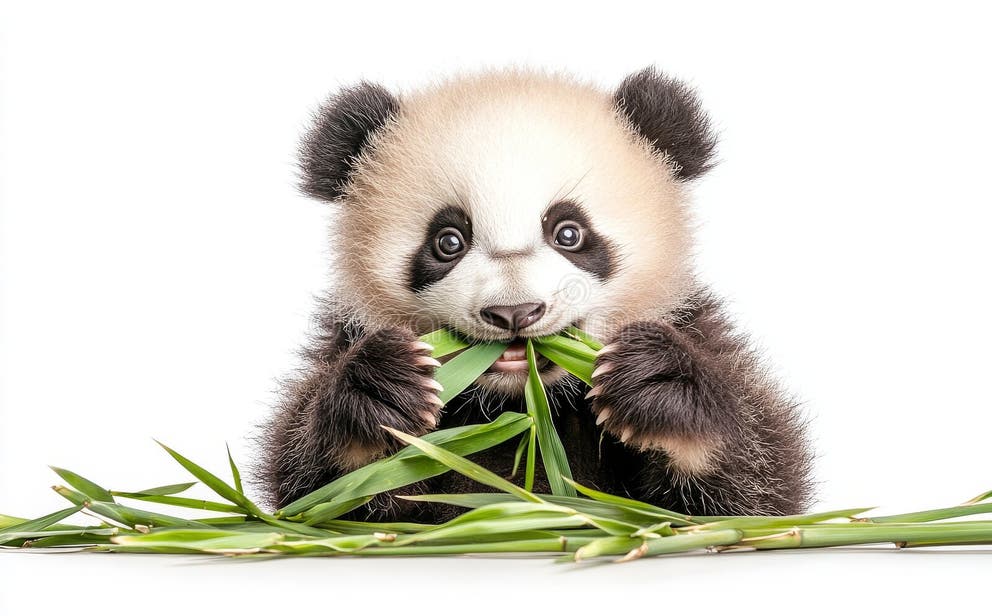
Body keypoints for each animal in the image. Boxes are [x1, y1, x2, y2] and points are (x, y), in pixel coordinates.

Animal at [260, 67, 812, 521]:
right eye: (448, 241)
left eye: (569, 232)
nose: (514, 312)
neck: (518, 404)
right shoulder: (345, 337)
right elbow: (314, 492)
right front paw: (381, 390)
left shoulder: (693, 324)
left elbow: (758, 486)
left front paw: (657, 381)